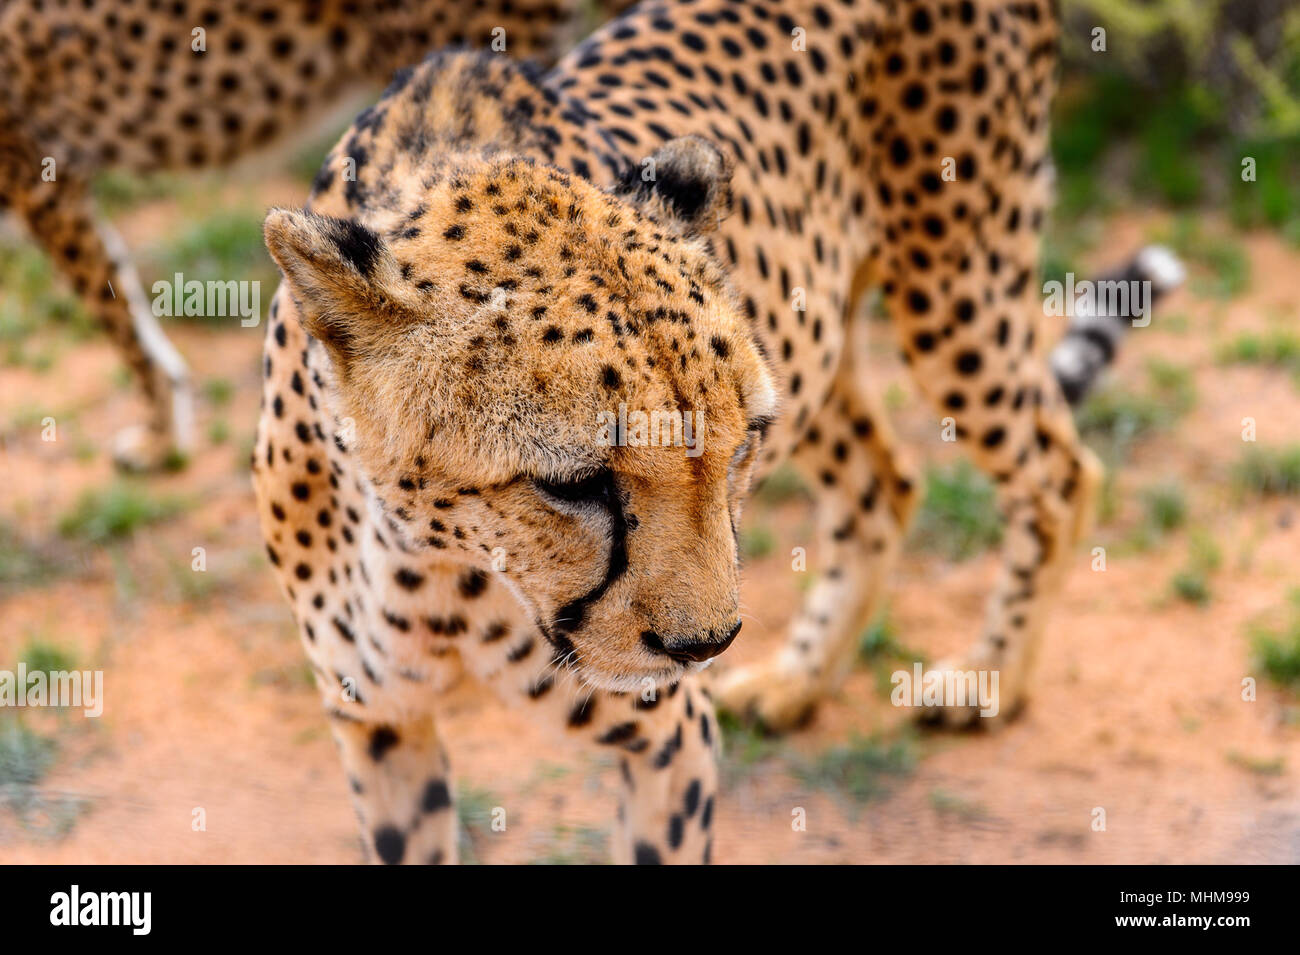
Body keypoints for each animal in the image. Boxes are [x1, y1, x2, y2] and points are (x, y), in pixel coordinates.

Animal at [252, 0, 1171, 864]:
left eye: (739, 447)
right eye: (574, 483)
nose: (707, 645)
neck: (440, 564)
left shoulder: (671, 737)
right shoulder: (380, 727)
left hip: (956, 289)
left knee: (1059, 469)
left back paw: (990, 682)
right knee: (884, 480)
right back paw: (799, 679)